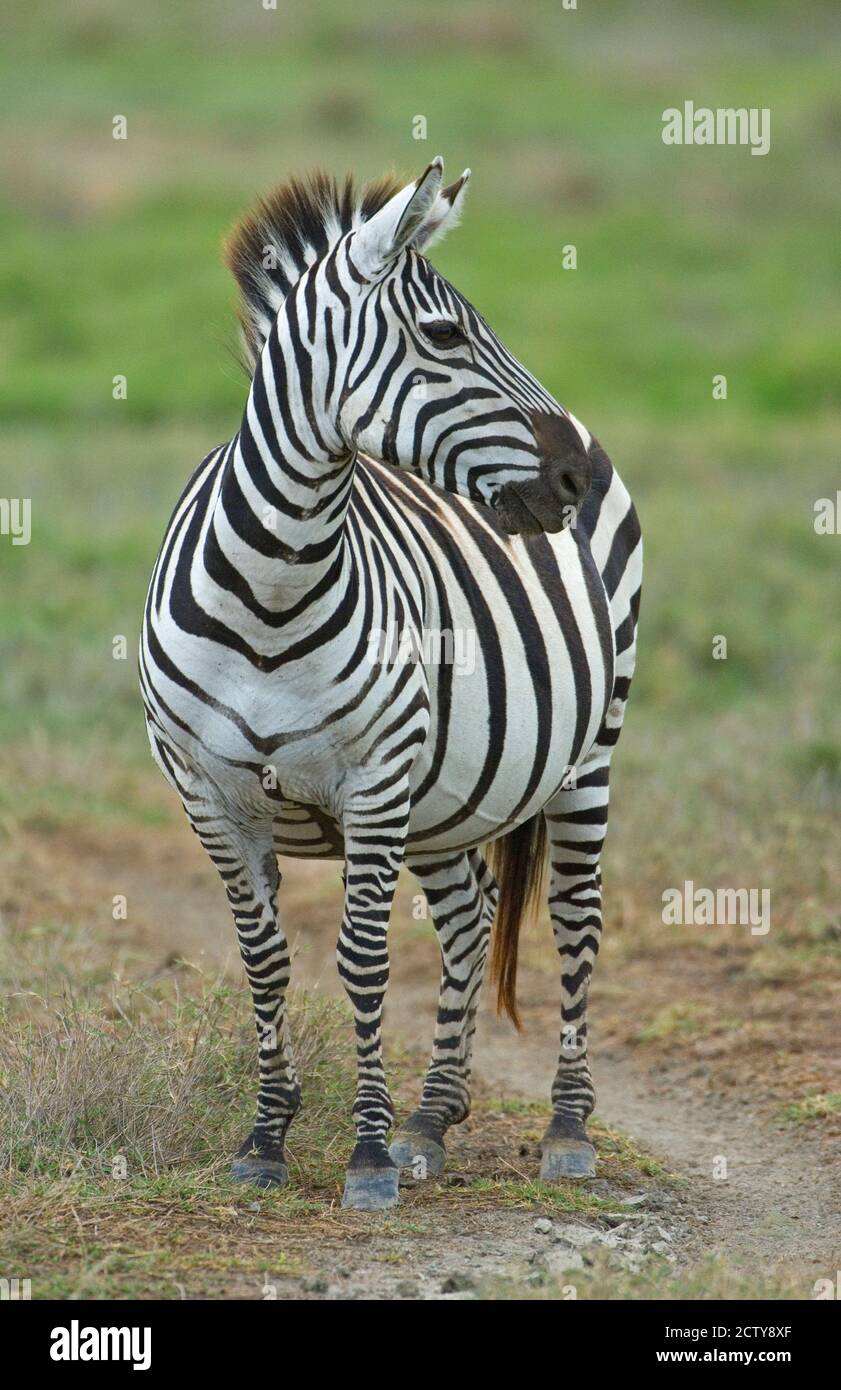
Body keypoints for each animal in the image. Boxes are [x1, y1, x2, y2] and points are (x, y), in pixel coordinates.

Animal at [140, 157, 642, 1211]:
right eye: (446, 335)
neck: (271, 588)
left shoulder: (372, 782)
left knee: (574, 918)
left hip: (590, 750)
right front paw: (268, 1137)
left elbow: (361, 963)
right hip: (446, 797)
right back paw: (432, 1117)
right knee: (468, 918)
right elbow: (265, 962)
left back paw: (565, 1129)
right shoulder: (212, 797)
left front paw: (366, 1155)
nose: (570, 478)